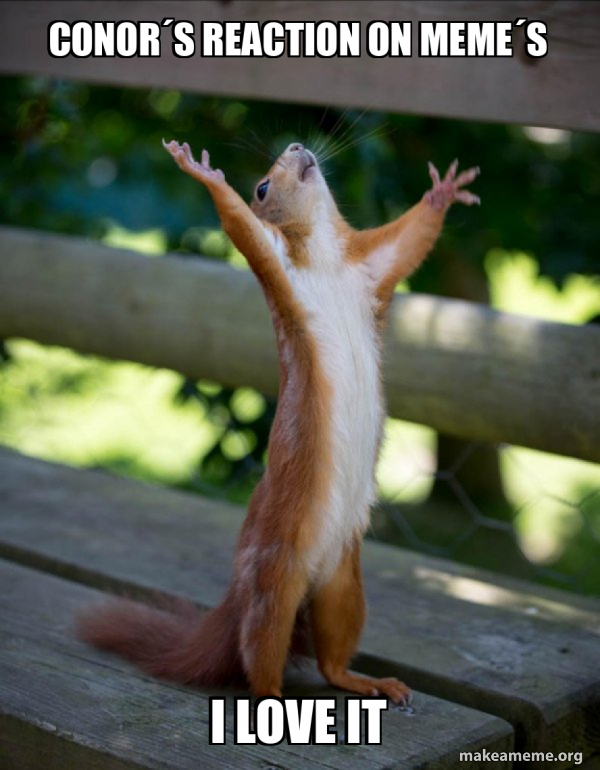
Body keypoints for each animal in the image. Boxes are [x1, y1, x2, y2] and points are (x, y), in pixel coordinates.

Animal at [77, 138, 479, 704]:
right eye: (262, 187)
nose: (296, 146)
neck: (327, 258)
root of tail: (238, 594)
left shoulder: (372, 267)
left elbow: (410, 239)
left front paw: (442, 192)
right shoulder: (277, 264)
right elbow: (240, 226)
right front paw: (203, 173)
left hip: (344, 586)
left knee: (332, 658)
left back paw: (368, 681)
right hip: (274, 583)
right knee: (259, 656)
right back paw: (278, 698)